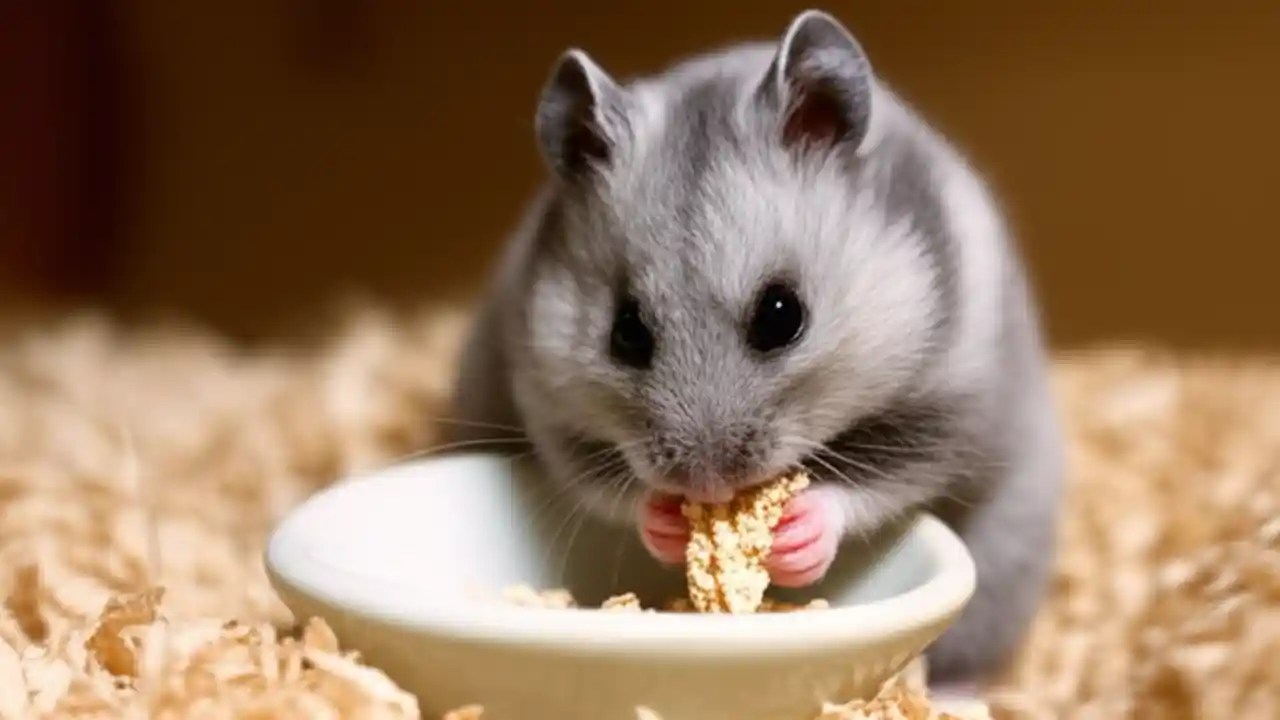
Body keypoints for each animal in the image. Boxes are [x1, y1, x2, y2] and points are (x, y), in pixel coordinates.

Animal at [448, 9, 1063, 687]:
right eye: (624, 331)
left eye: (781, 315)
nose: (711, 490)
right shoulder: (555, 414)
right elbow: (609, 487)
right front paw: (667, 522)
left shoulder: (945, 408)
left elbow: (876, 481)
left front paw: (797, 535)